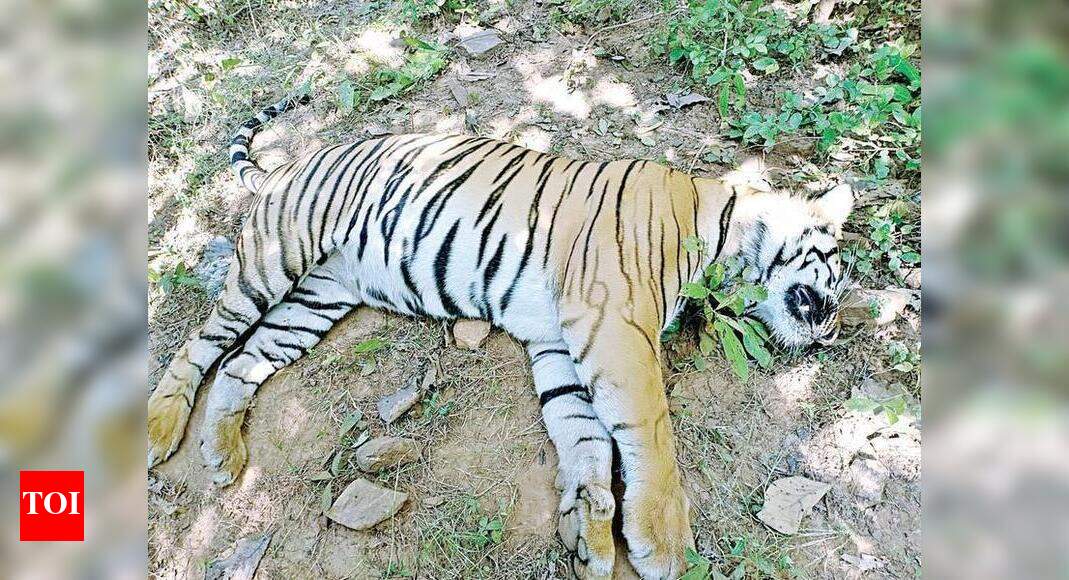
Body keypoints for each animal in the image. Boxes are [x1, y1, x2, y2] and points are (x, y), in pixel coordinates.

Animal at [148, 93, 853, 580]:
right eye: (837, 279)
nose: (827, 334)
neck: (725, 235)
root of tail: (288, 165)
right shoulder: (616, 326)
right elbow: (649, 429)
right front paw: (662, 542)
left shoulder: (562, 342)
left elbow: (586, 435)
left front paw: (590, 533)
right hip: (274, 261)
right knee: (202, 343)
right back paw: (160, 430)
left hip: (317, 300)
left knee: (241, 363)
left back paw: (223, 455)